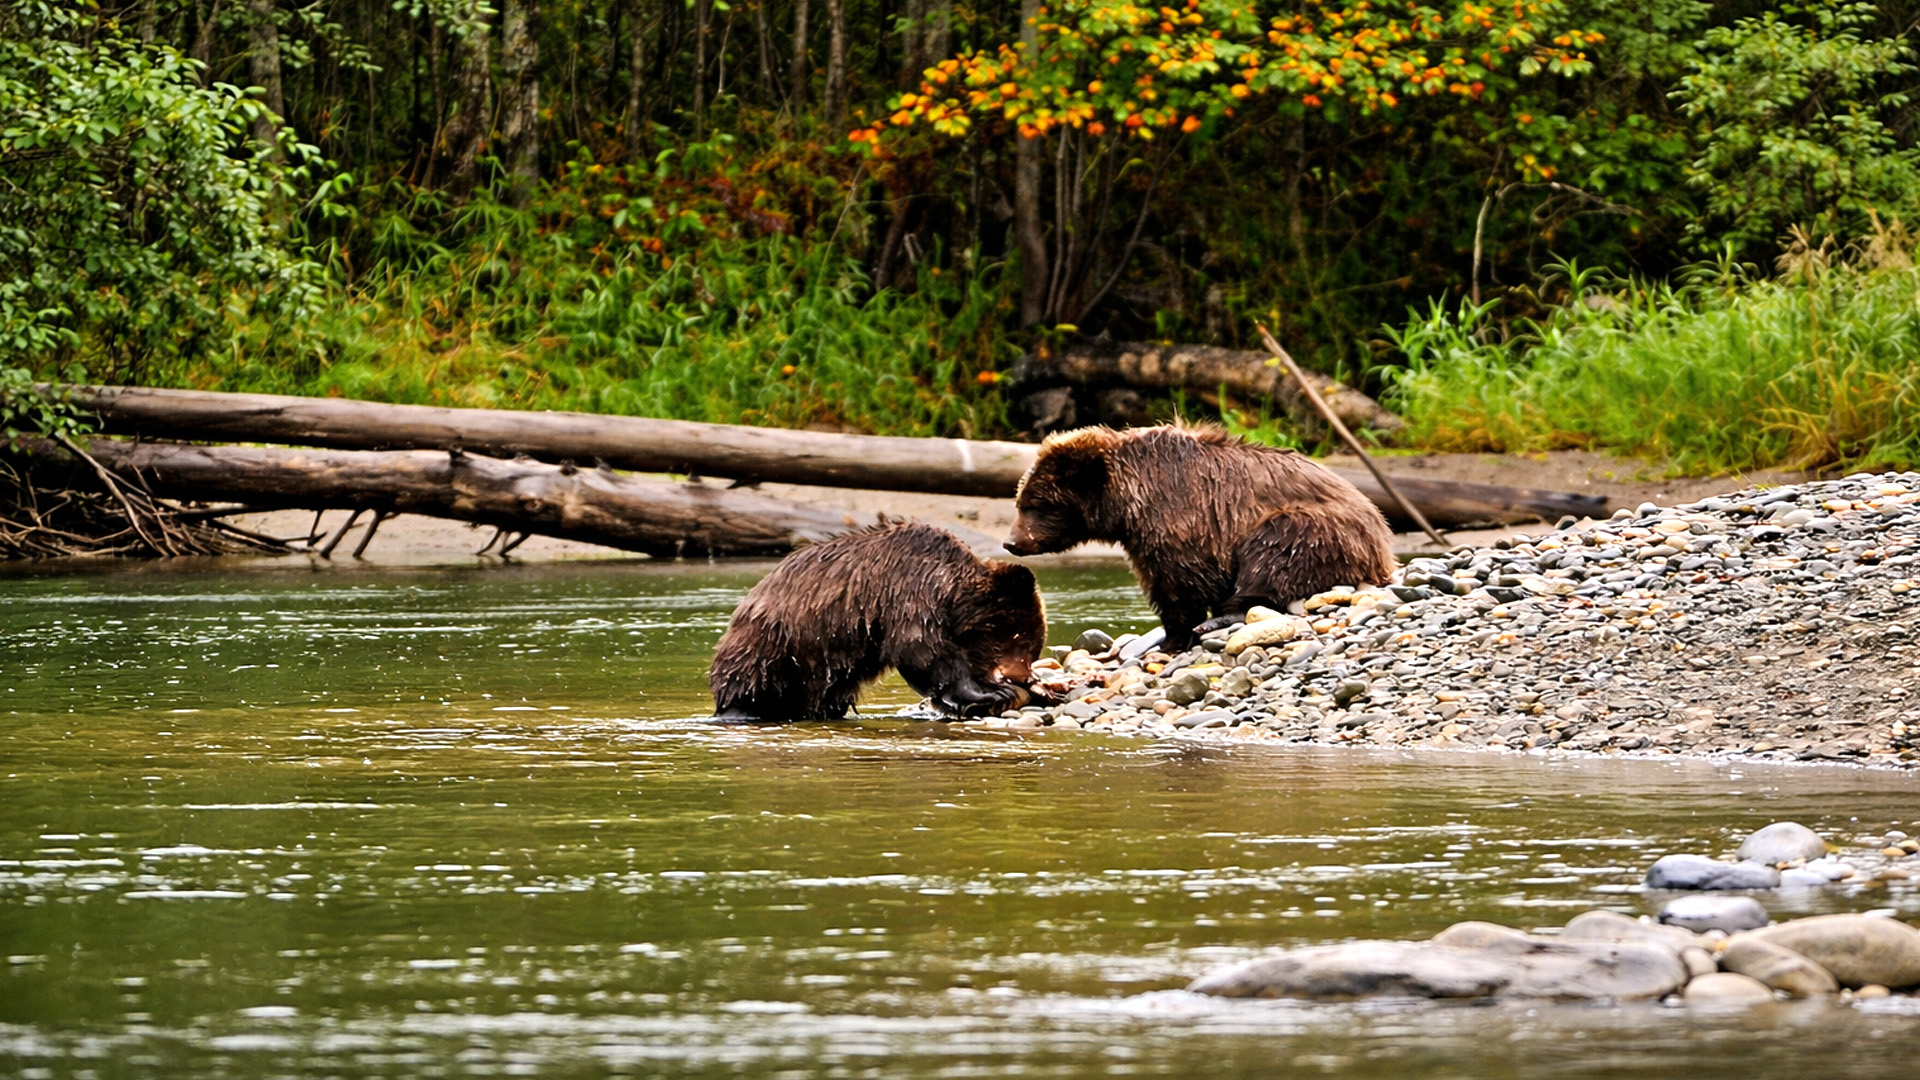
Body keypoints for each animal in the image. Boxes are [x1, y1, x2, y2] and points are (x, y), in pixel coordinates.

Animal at [709, 522, 1049, 721]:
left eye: (1034, 647)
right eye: (1021, 639)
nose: (1023, 677)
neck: (948, 593)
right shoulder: (908, 596)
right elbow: (923, 652)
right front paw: (991, 693)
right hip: (776, 648)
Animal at [1004, 424, 1395, 651]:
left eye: (1037, 504)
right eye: (1020, 500)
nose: (1011, 542)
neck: (1127, 502)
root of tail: (1382, 531)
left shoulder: (1180, 520)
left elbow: (1179, 581)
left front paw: (1175, 635)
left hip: (1316, 527)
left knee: (1274, 556)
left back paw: (1224, 615)